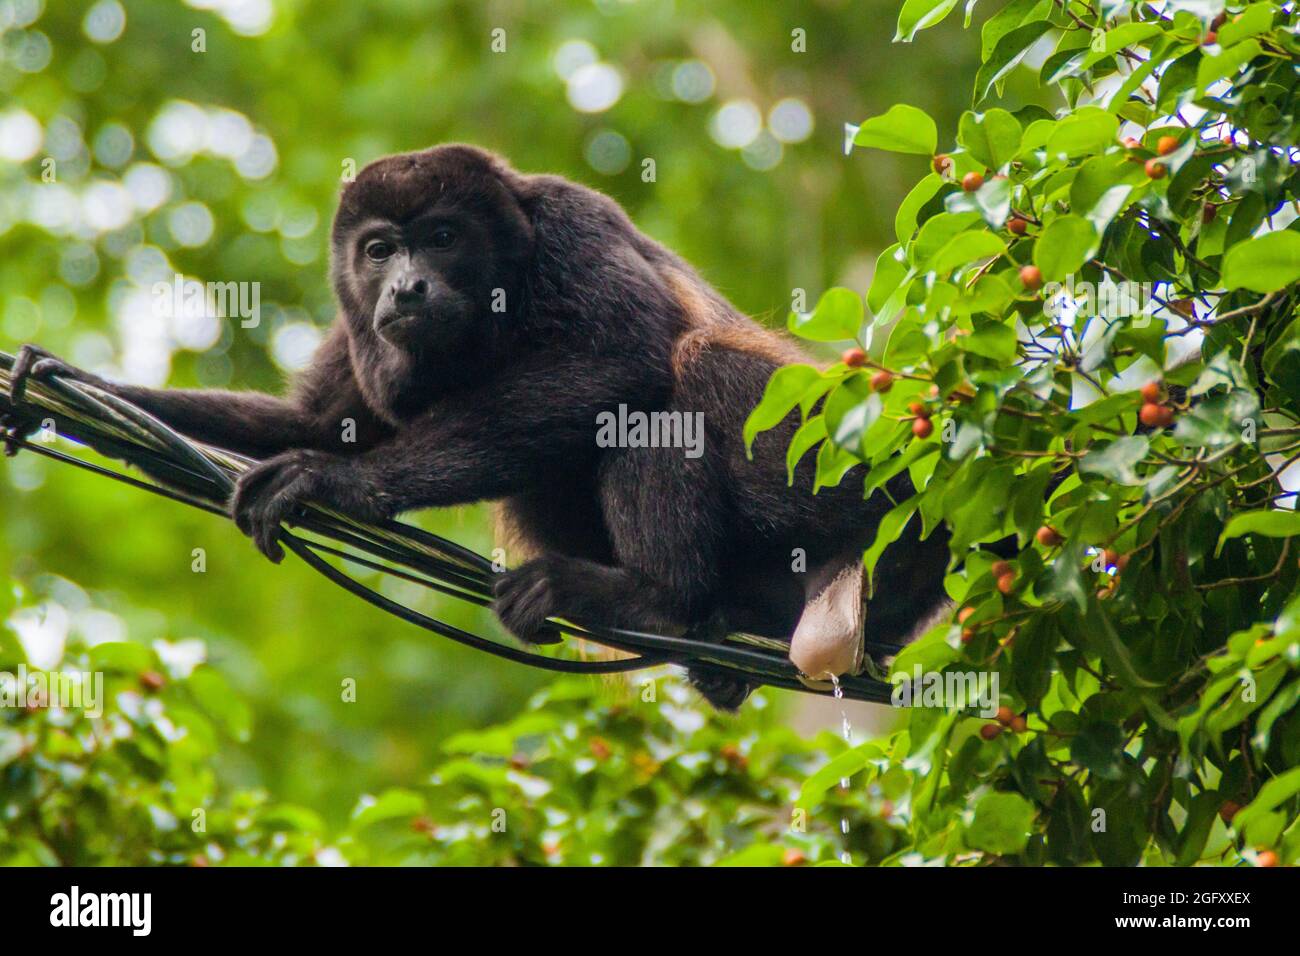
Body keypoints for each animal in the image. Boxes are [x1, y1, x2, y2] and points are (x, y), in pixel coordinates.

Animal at [3, 144, 955, 710]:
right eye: (379, 249)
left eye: (442, 237)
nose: (407, 288)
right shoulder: (360, 324)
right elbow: (315, 420)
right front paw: (59, 387)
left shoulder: (571, 224)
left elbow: (622, 359)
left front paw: (337, 482)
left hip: (846, 462)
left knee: (678, 378)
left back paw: (659, 597)